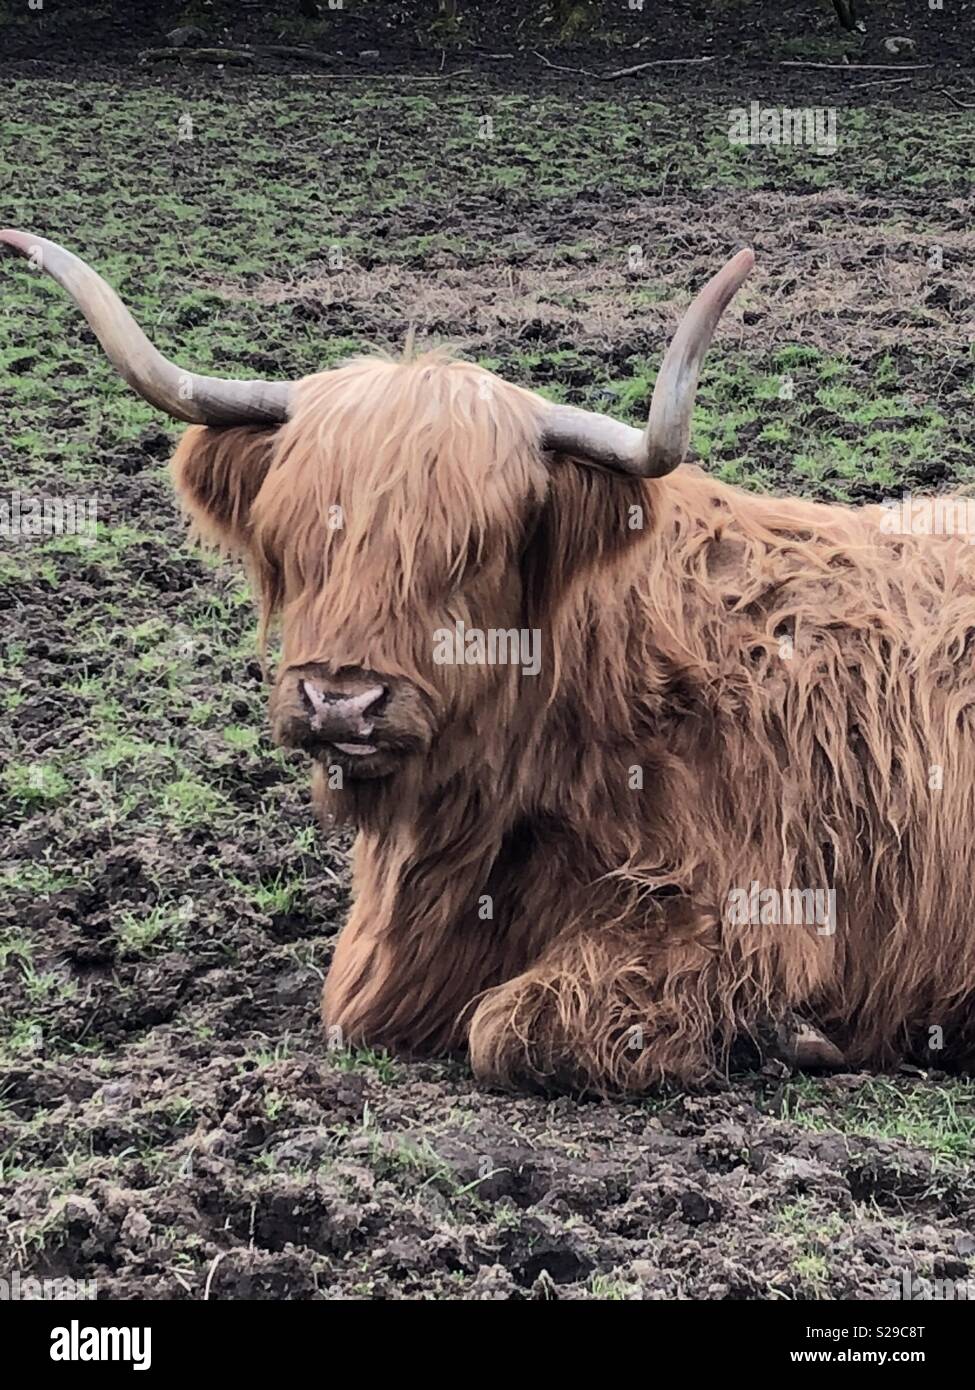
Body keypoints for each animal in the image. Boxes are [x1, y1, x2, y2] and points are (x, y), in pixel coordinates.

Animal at [5, 228, 974, 1095]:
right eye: (296, 539)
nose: (340, 702)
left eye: (471, 551)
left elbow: (507, 1032)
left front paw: (782, 1033)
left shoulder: (741, 907)